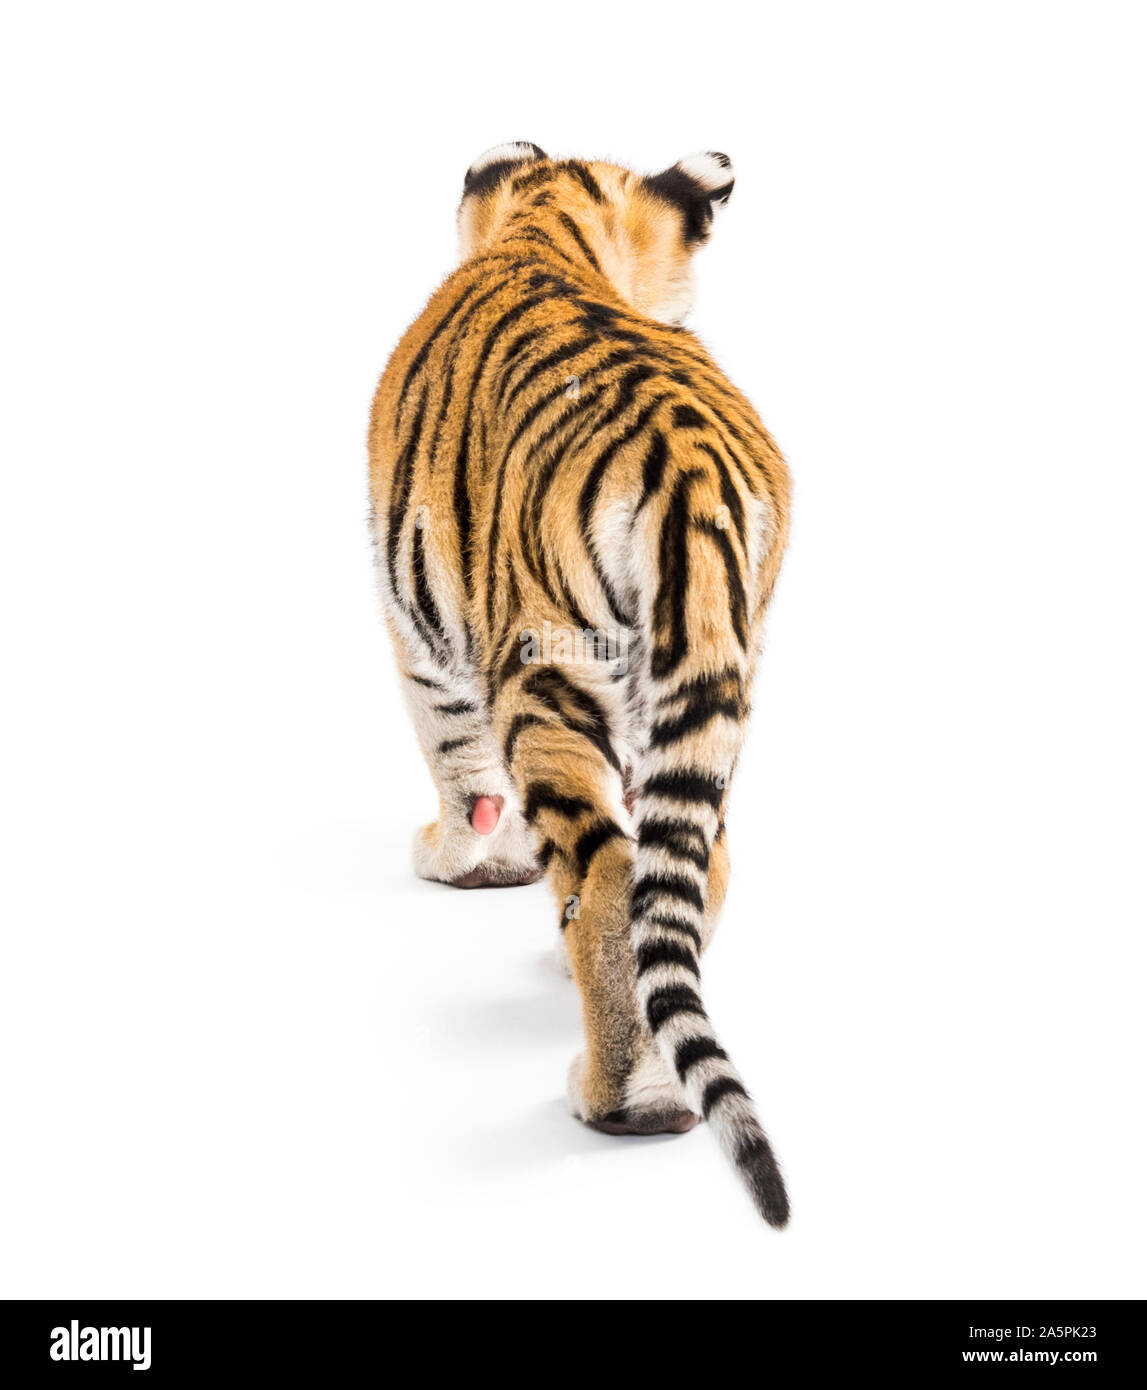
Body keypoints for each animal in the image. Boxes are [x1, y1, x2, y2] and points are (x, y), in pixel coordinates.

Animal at [368, 143, 792, 1225]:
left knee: (605, 879)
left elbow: (453, 752)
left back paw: (621, 1099)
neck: (552, 223)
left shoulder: (417, 629)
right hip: (716, 676)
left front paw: (464, 860)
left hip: (546, 673)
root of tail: (688, 465)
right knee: (686, 870)